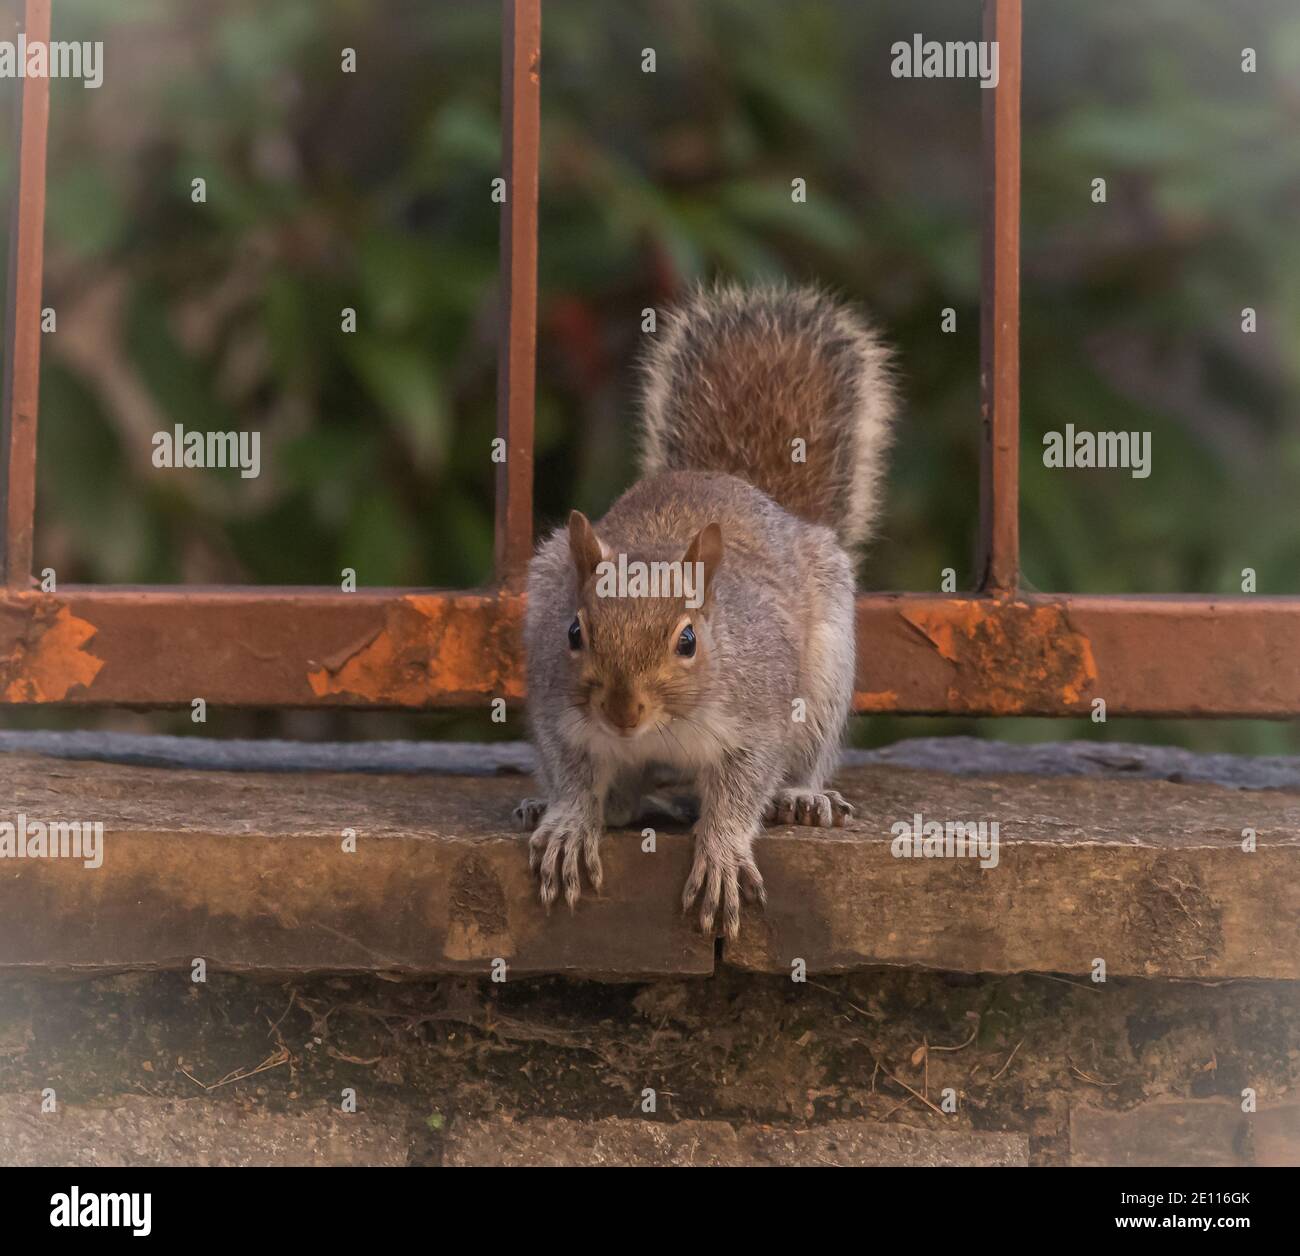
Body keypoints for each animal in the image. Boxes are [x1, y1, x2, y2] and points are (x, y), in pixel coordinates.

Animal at [517, 282, 896, 937]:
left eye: (688, 640)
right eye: (572, 632)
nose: (622, 713)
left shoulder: (758, 715)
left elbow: (744, 787)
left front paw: (722, 853)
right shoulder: (557, 711)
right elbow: (571, 771)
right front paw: (567, 821)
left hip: (825, 673)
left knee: (803, 756)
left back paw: (801, 797)